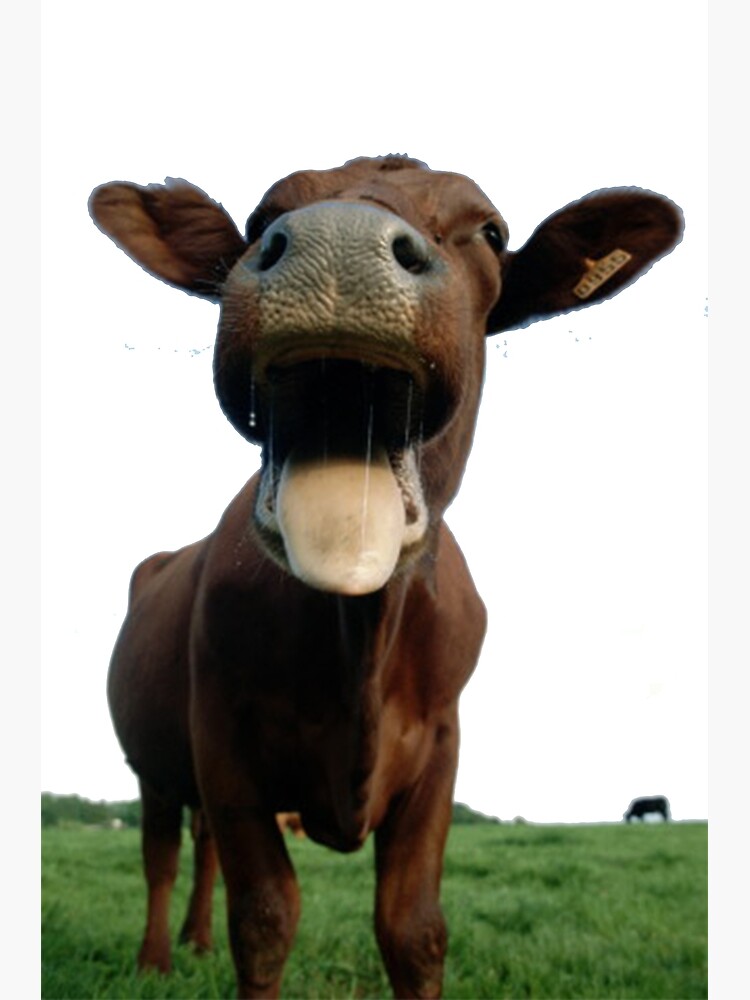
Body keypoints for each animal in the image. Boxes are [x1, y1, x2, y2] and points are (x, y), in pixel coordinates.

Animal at [90, 154, 683, 999]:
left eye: (490, 231)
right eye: (259, 216)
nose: (337, 244)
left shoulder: (439, 746)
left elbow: (414, 930)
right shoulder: (222, 736)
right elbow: (264, 919)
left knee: (196, 852)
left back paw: (194, 944)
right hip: (155, 763)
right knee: (163, 857)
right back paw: (157, 959)